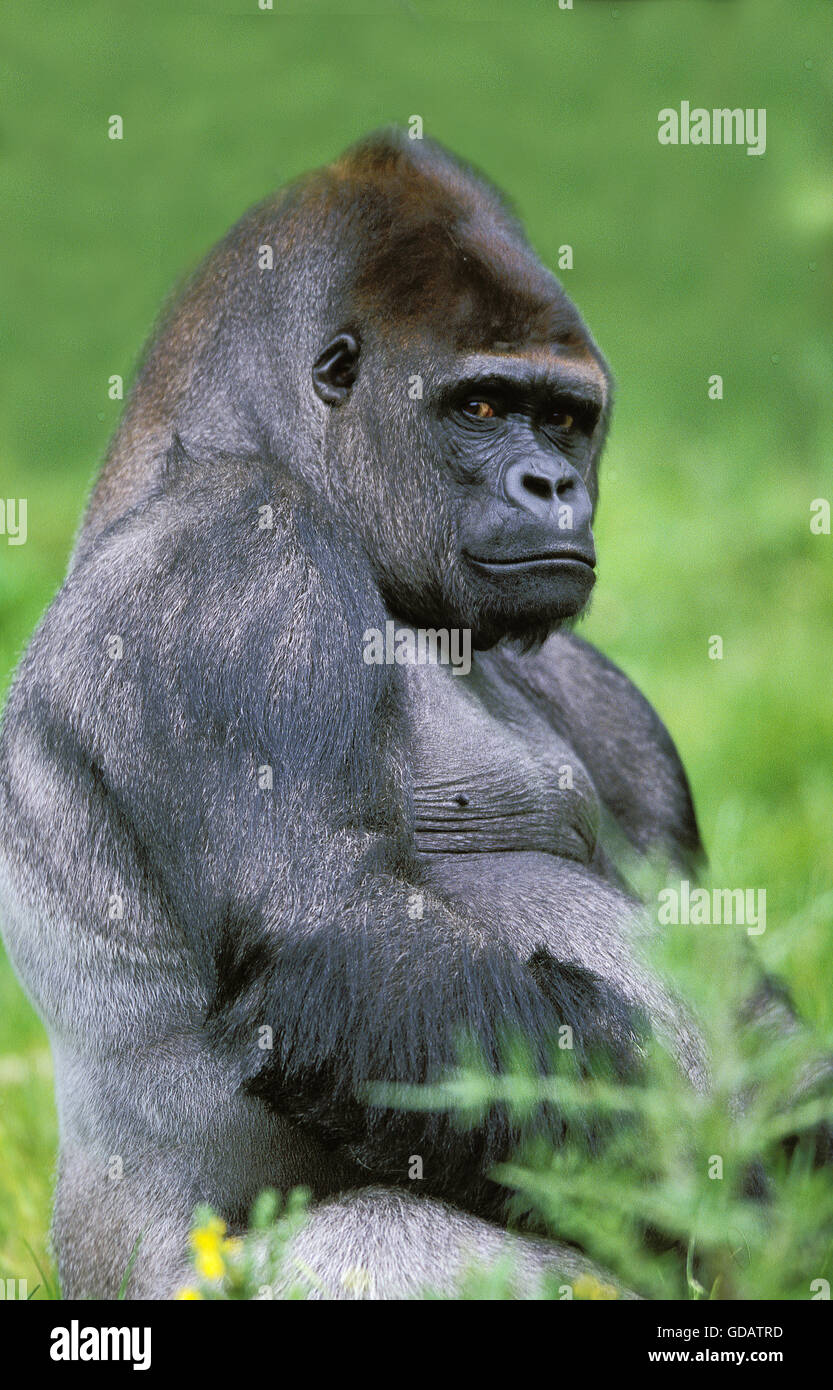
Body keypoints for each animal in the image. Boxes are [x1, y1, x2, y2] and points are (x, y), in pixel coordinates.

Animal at [0, 129, 815, 1301]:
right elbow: (351, 946)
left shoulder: (598, 694)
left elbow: (728, 984)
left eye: (564, 417)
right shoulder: (236, 557)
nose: (554, 487)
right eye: (477, 408)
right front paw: (751, 1217)